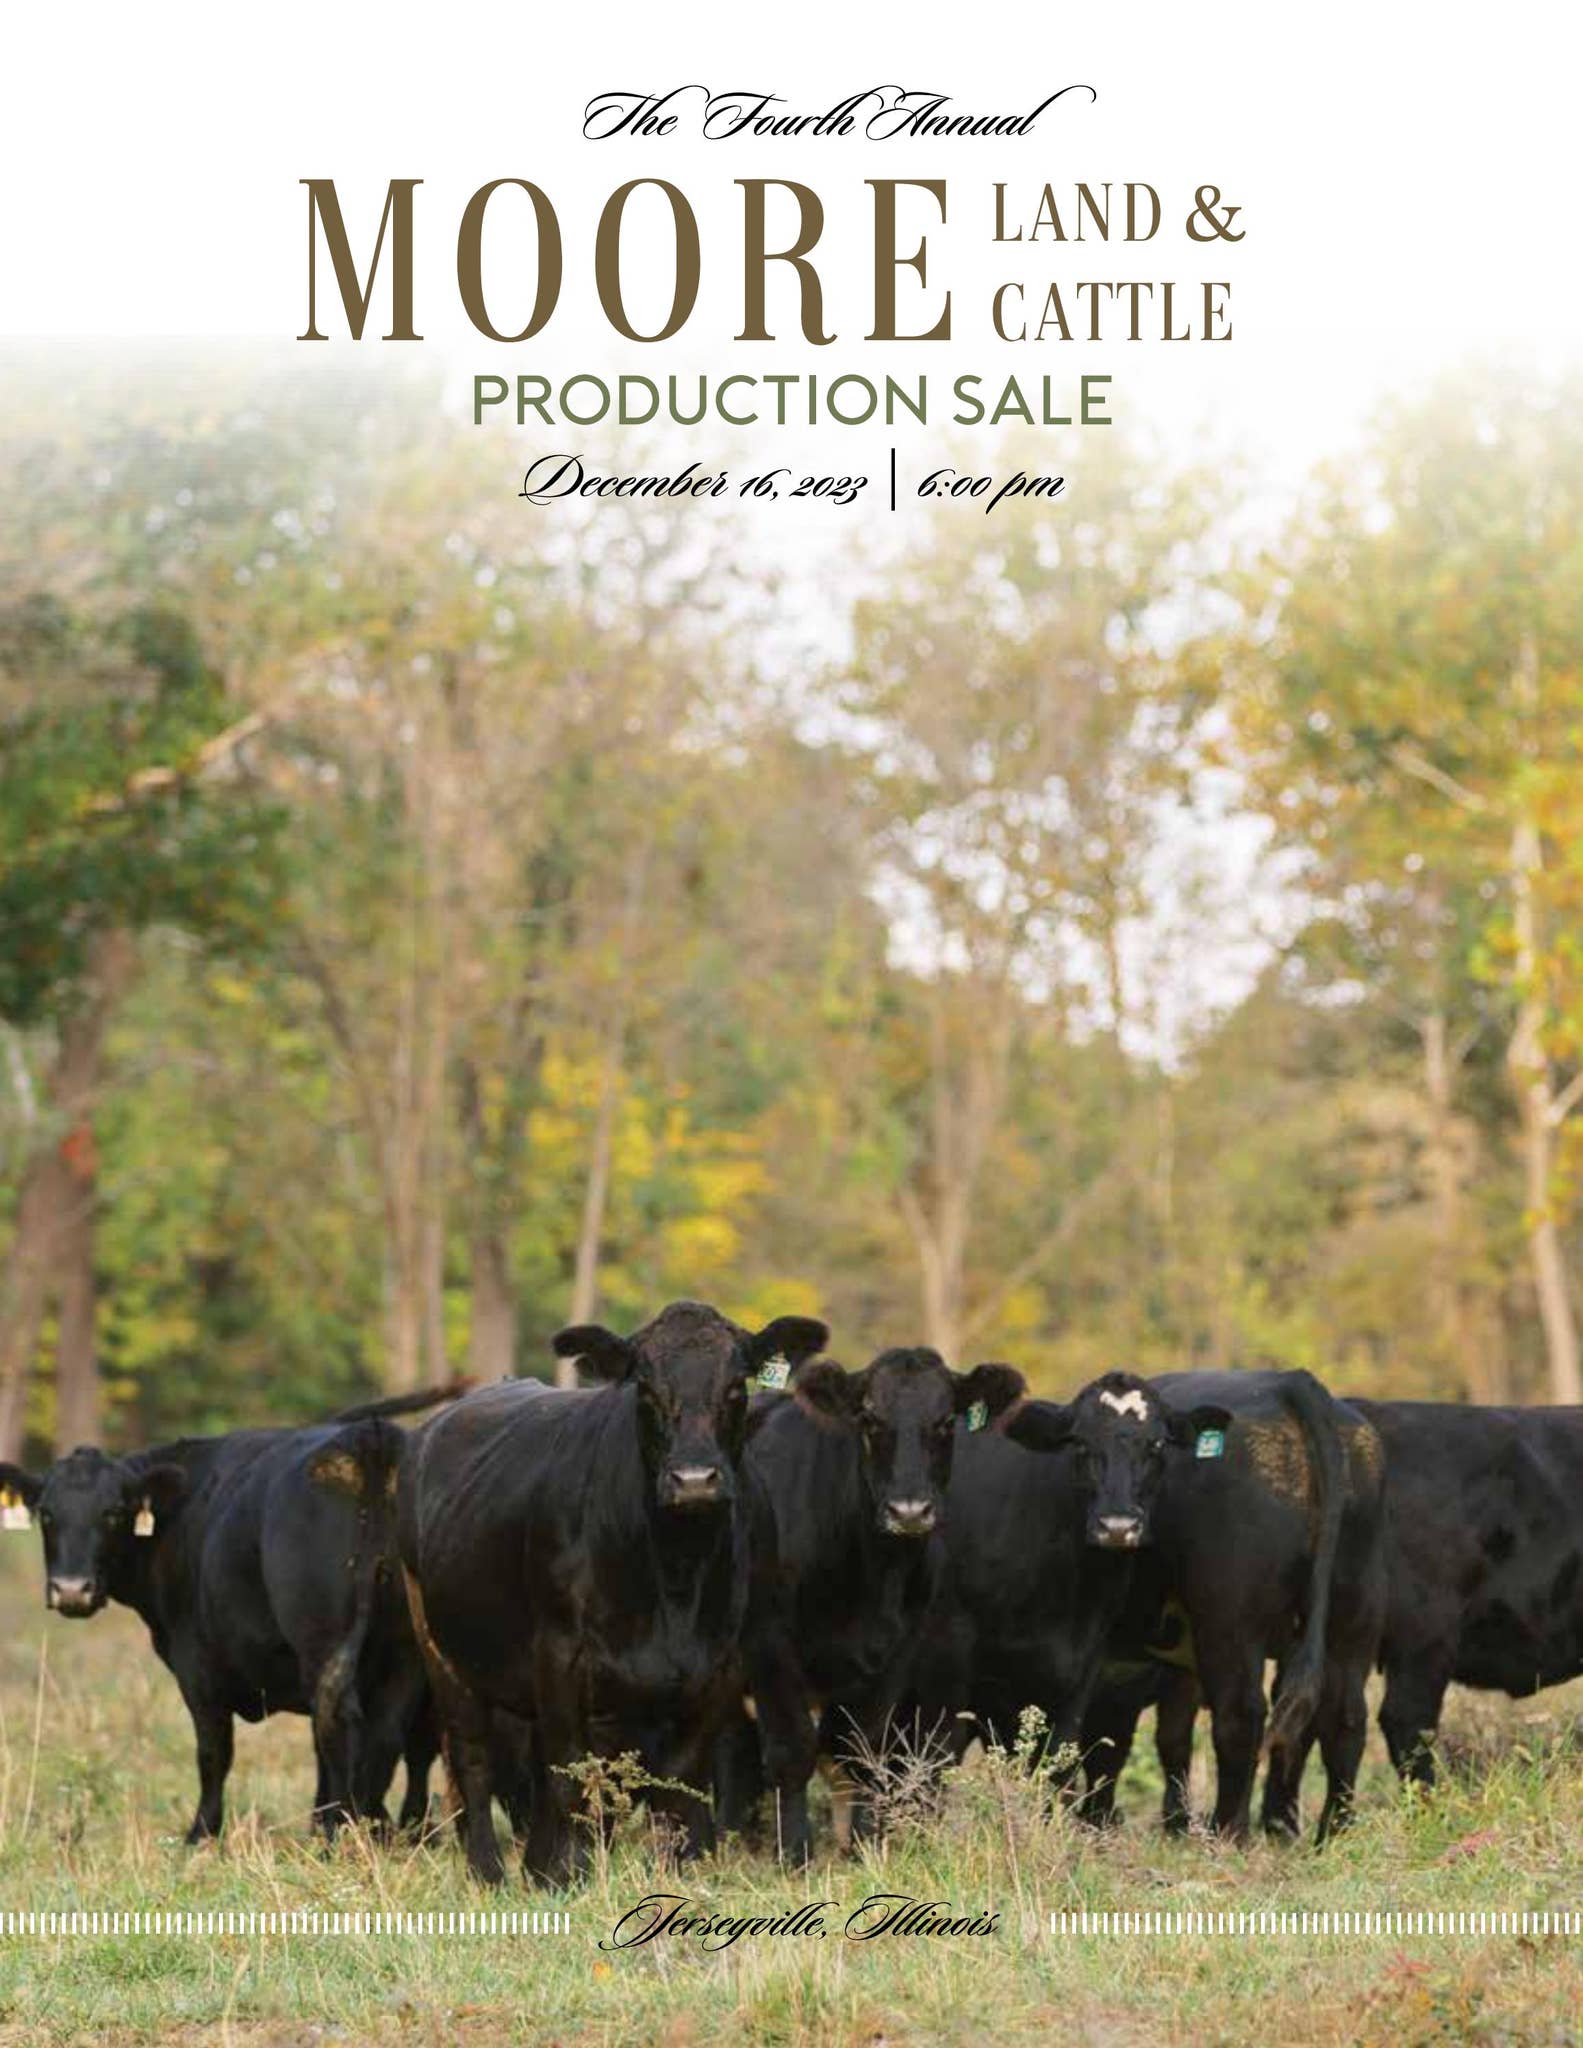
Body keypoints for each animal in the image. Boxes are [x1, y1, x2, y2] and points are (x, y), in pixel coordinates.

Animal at [0, 1386, 460, 1843]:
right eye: (46, 1514)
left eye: (113, 1513)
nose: (71, 1589)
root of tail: (369, 1436)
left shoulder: (196, 1665)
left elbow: (214, 1751)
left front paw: (201, 1833)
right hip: (403, 1652)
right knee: (386, 1733)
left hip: (327, 1642)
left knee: (343, 1723)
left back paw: (346, 1832)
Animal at [395, 1299, 829, 1886]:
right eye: (644, 1388)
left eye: (737, 1385)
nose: (695, 1479)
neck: (676, 1574)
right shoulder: (558, 1654)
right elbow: (573, 1777)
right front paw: (568, 1875)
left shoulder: (721, 1665)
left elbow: (676, 1784)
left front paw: (676, 1869)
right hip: (442, 1650)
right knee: (472, 1757)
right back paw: (489, 1871)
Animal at [716, 1346, 1026, 1854]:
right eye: (870, 1419)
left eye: (945, 1421)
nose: (909, 1510)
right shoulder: (769, 1645)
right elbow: (791, 1750)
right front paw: (795, 1853)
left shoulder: (896, 1654)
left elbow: (863, 1751)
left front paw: (863, 1848)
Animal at [1074, 1371, 1387, 1841]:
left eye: (1155, 1446)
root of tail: (1290, 1381)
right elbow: (1166, 1738)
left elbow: (1102, 1739)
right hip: (1353, 1621)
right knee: (1343, 1718)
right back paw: (1332, 1833)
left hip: (1231, 1626)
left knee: (1241, 1716)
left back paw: (1229, 1831)